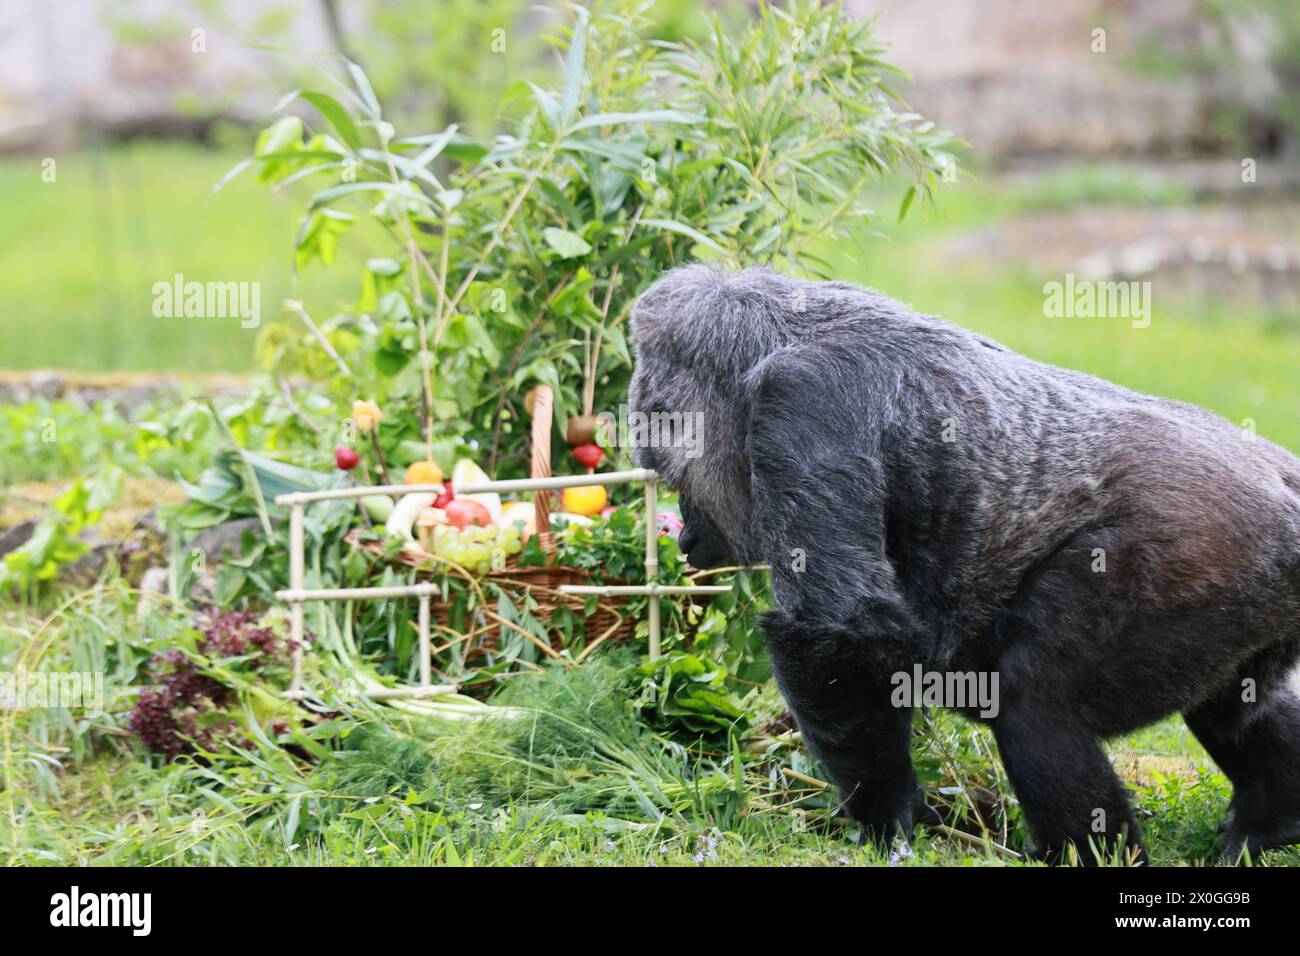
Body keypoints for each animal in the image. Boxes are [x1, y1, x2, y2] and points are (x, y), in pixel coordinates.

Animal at [628, 264, 1300, 864]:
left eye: (665, 466)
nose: (685, 532)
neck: (773, 341)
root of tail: (1287, 477)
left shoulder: (801, 403)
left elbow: (841, 627)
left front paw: (886, 817)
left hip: (1195, 548)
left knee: (1033, 696)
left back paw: (1088, 852)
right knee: (1238, 704)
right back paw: (1271, 817)